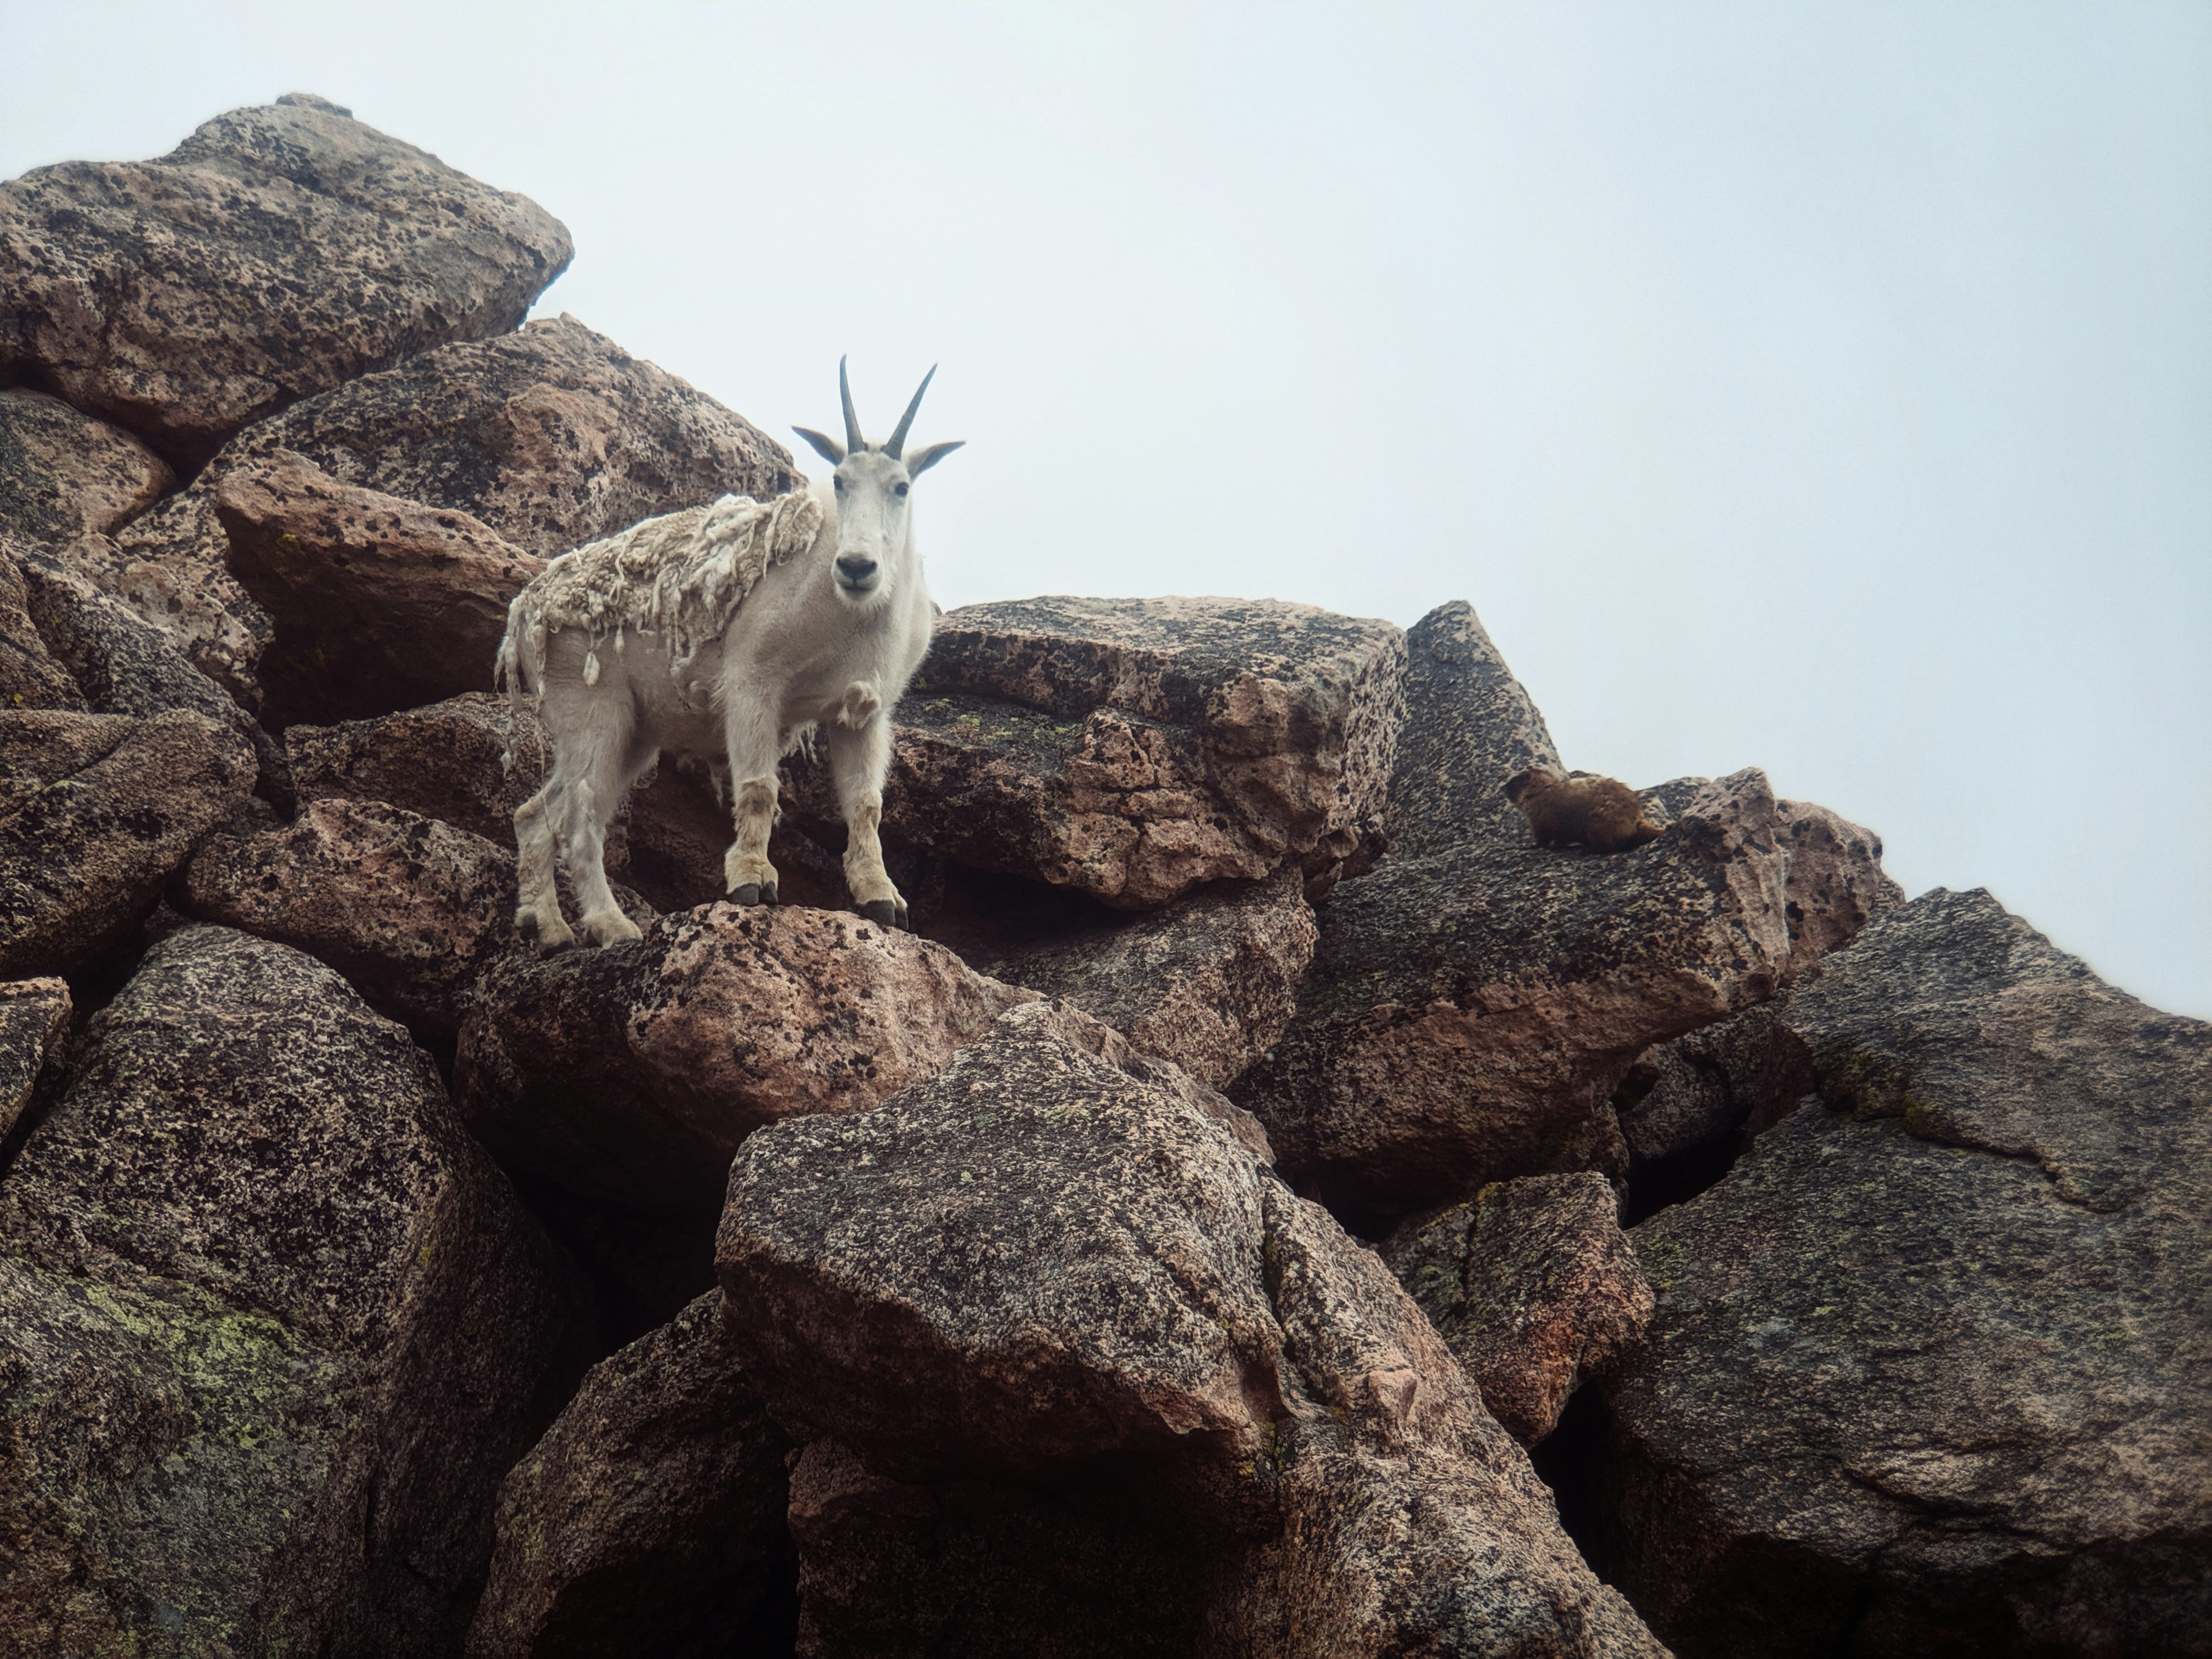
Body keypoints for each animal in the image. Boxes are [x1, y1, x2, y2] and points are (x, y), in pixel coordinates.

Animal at [496, 361, 961, 949]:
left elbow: (866, 804)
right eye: (839, 480)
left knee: (541, 812)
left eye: (902, 486)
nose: (857, 566)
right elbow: (759, 787)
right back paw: (611, 925)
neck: (850, 614)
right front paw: (750, 882)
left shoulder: (863, 709)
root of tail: (526, 611)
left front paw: (882, 899)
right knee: (580, 815)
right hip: (589, 703)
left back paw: (548, 926)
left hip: (634, 732)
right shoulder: (753, 682)